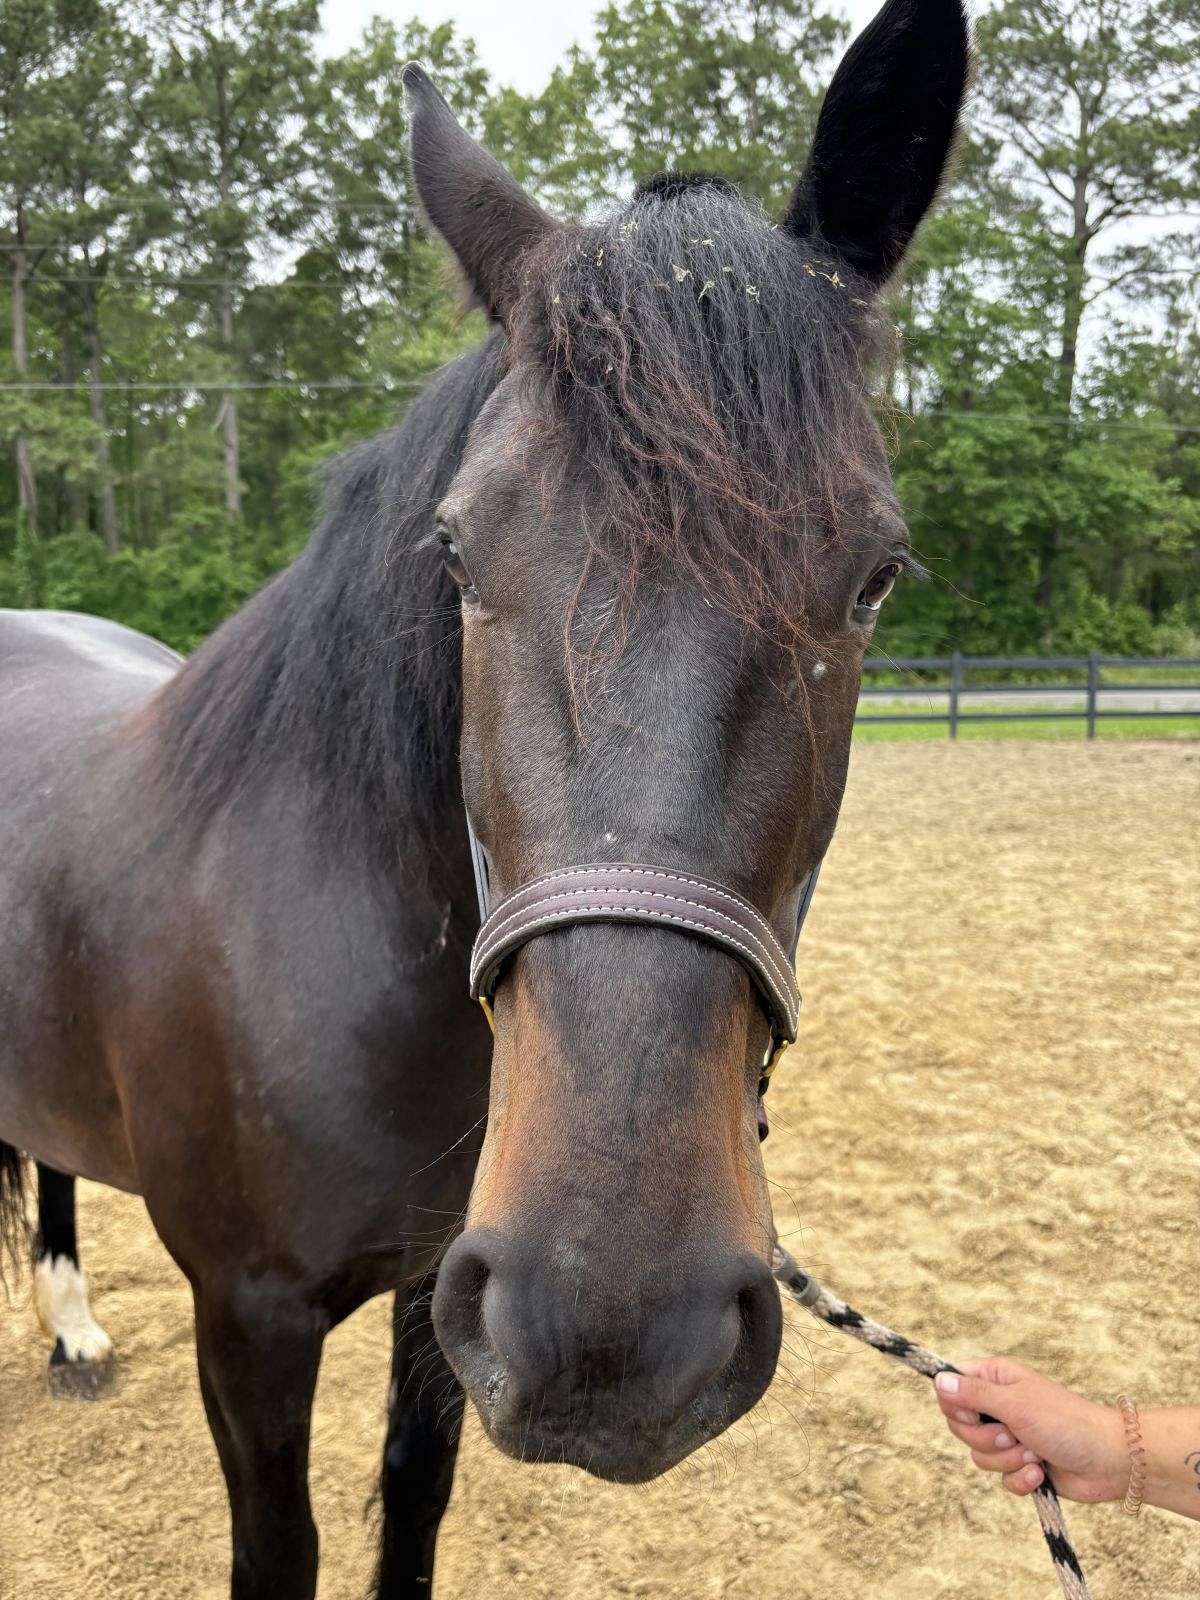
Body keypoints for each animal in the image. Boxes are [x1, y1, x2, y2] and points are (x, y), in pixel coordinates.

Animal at [0, 1, 968, 1593]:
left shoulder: (441, 1301)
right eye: (453, 552)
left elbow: (415, 1500)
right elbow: (283, 1548)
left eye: (876, 573)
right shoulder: (248, 1323)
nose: (615, 1330)